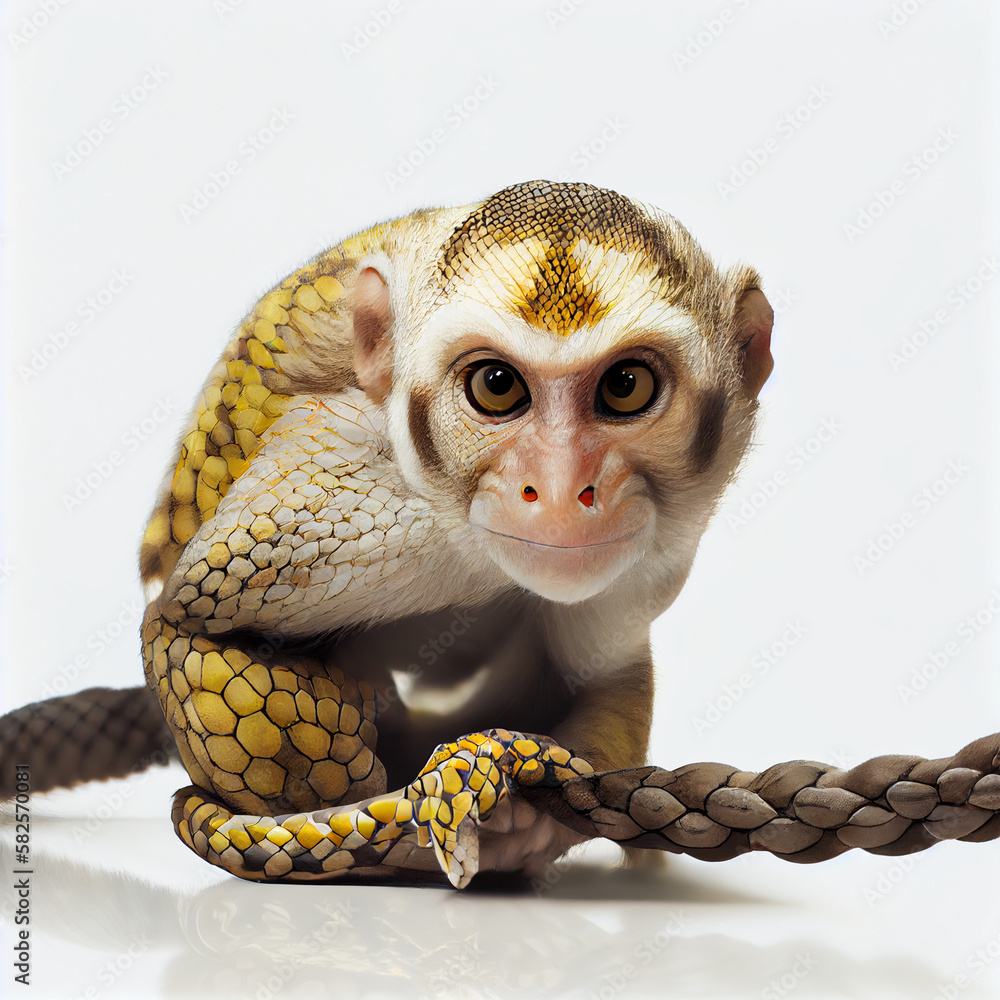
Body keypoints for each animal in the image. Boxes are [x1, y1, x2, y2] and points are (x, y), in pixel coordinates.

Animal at [3, 180, 999, 888]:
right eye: (496, 387)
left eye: (626, 388)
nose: (560, 489)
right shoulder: (350, 504)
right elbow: (191, 621)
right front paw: (387, 801)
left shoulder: (653, 550)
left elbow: (605, 677)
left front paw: (518, 802)